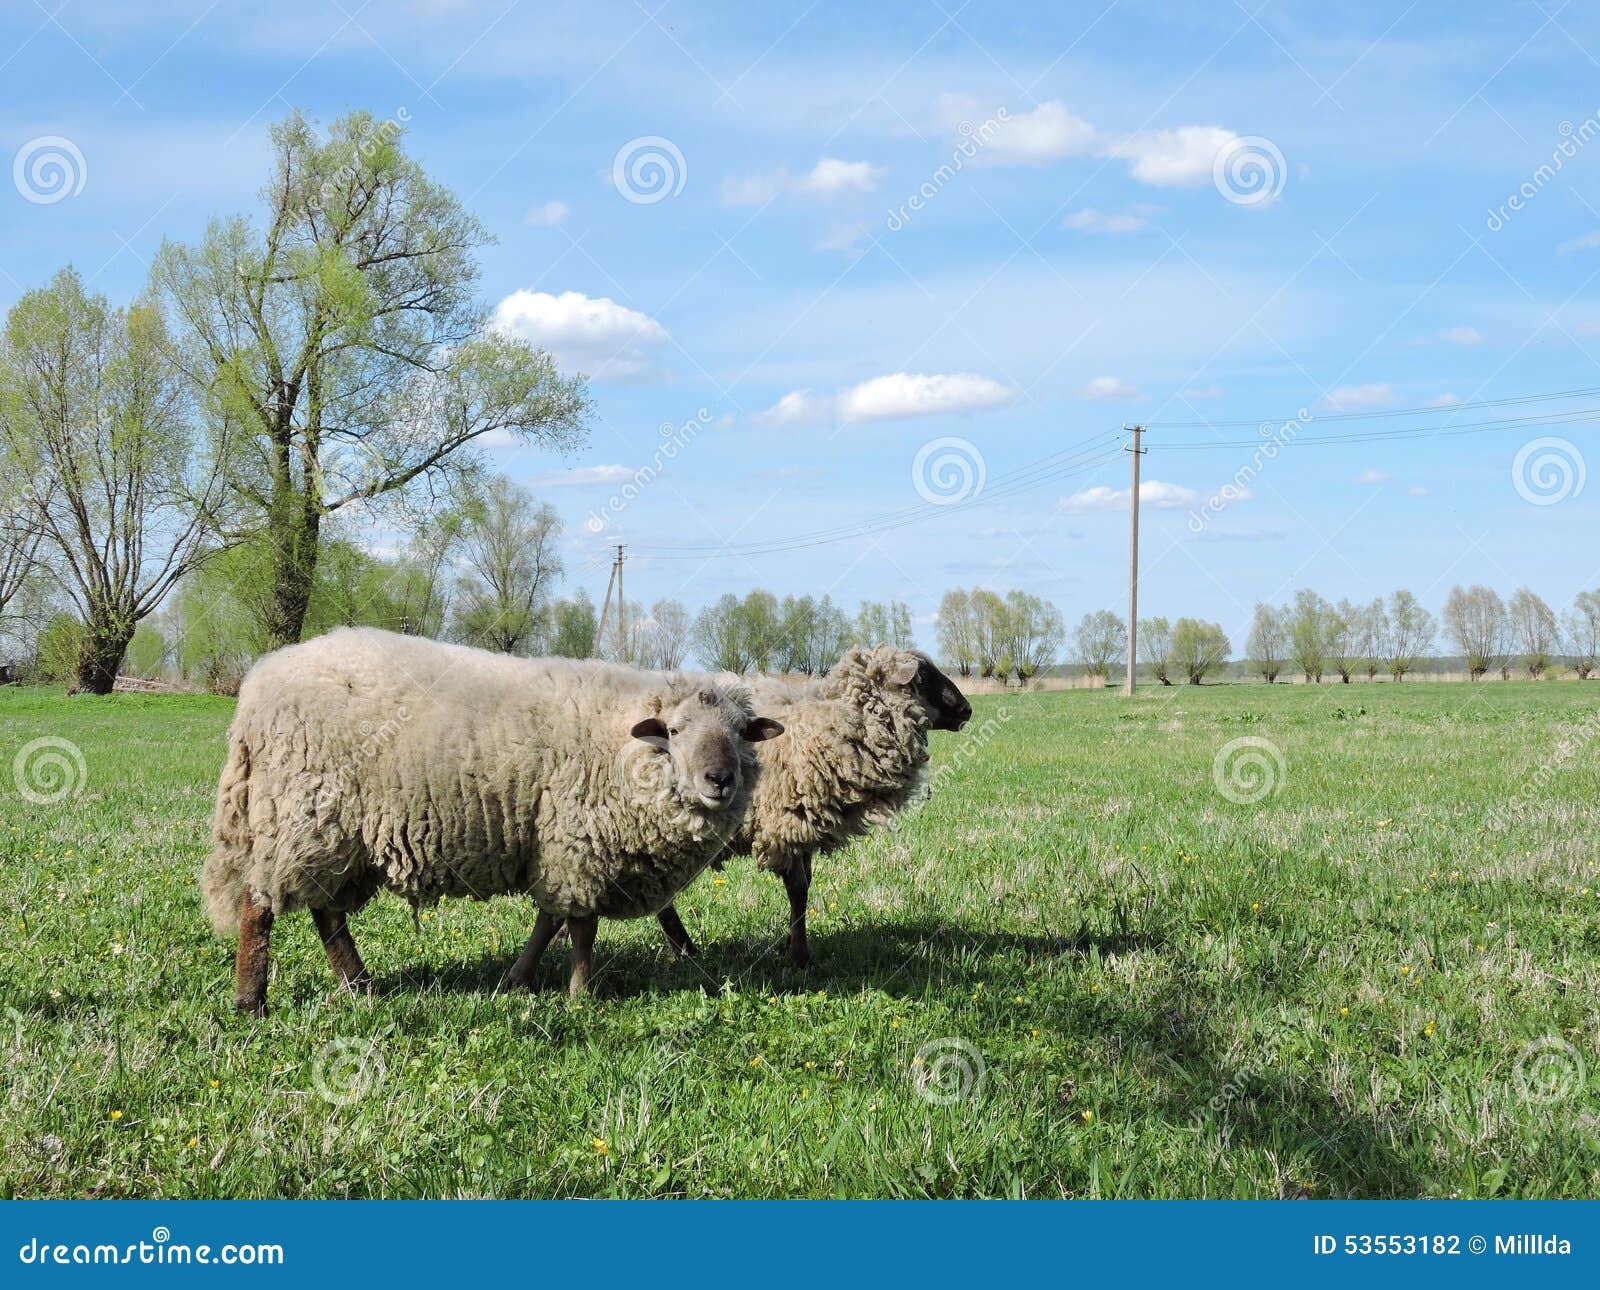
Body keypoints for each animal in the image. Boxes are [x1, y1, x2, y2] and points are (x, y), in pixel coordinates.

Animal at [201, 628, 783, 1015]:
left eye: (741, 732)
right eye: (677, 730)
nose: (719, 779)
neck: (620, 743)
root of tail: (256, 687)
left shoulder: (557, 848)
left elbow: (549, 921)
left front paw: (518, 980)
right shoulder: (577, 844)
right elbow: (581, 927)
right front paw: (580, 995)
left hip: (333, 831)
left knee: (326, 911)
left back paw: (358, 985)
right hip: (302, 811)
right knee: (260, 906)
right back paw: (251, 1001)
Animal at [650, 646, 971, 966]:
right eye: (924, 675)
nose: (967, 710)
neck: (828, 729)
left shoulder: (803, 829)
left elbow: (806, 884)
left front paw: (790, 942)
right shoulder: (784, 825)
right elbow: (798, 889)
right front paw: (800, 956)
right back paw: (685, 950)